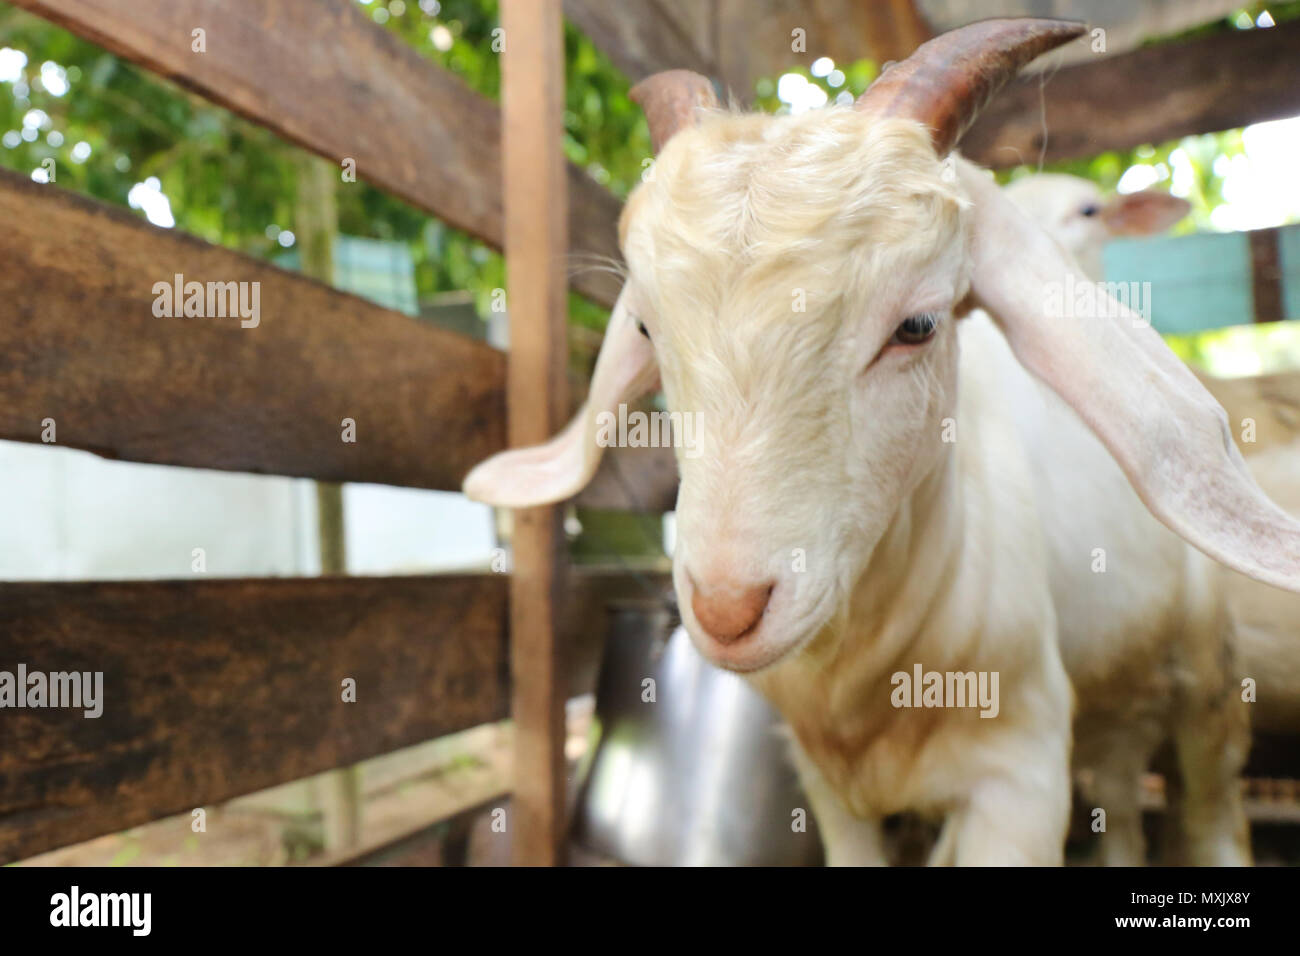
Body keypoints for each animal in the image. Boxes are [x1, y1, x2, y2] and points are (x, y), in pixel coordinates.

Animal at [464, 19, 1300, 865]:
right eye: (642, 326)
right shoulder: (830, 793)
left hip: (1208, 682)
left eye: (918, 324)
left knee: (1212, 808)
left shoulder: (1020, 777)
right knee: (1124, 805)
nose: (728, 610)